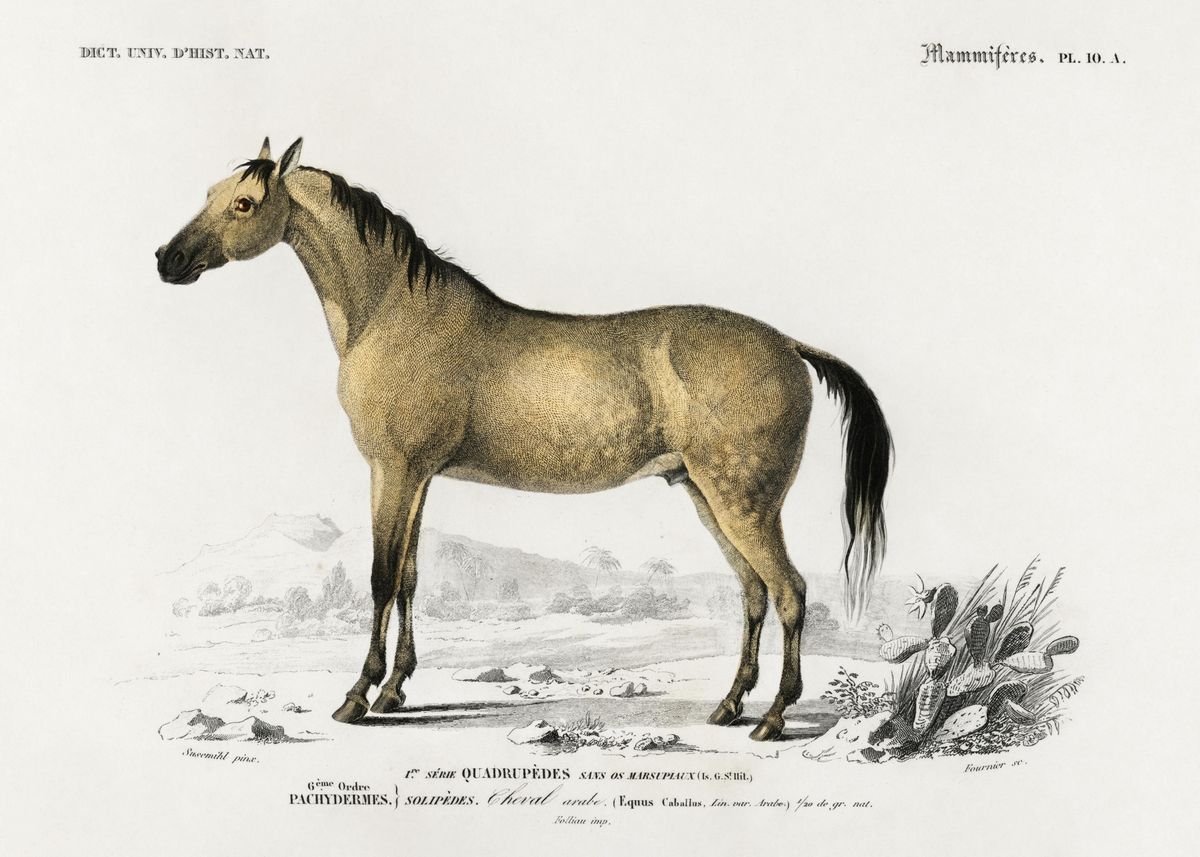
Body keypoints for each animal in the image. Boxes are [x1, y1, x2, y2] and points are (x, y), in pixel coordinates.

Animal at [156, 137, 892, 741]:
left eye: (245, 202)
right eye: (210, 194)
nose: (168, 259)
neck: (394, 312)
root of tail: (788, 344)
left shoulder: (393, 470)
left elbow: (381, 577)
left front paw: (358, 696)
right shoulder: (416, 477)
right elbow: (412, 578)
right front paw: (396, 690)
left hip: (744, 501)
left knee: (790, 591)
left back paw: (773, 717)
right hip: (707, 496)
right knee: (754, 593)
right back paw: (730, 705)